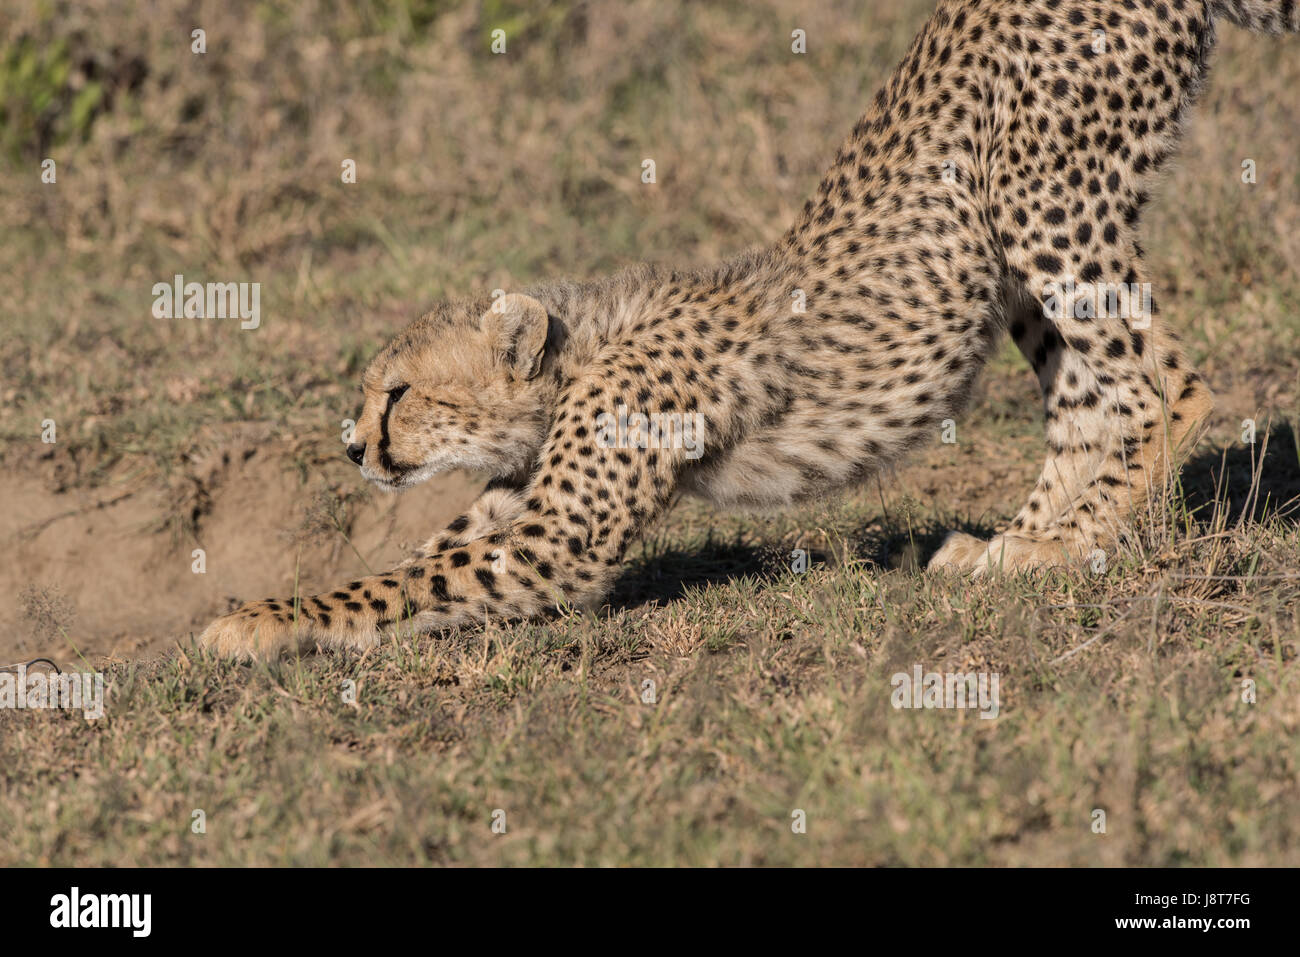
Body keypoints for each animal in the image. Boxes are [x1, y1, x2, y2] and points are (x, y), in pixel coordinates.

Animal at [200, 0, 1299, 659]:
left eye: (398, 393)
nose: (353, 447)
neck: (580, 353)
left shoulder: (556, 536)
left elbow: (396, 582)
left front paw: (252, 620)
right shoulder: (520, 503)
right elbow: (410, 567)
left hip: (1044, 193)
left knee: (1165, 381)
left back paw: (1067, 546)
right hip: (1013, 247)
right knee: (1086, 400)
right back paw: (1018, 549)